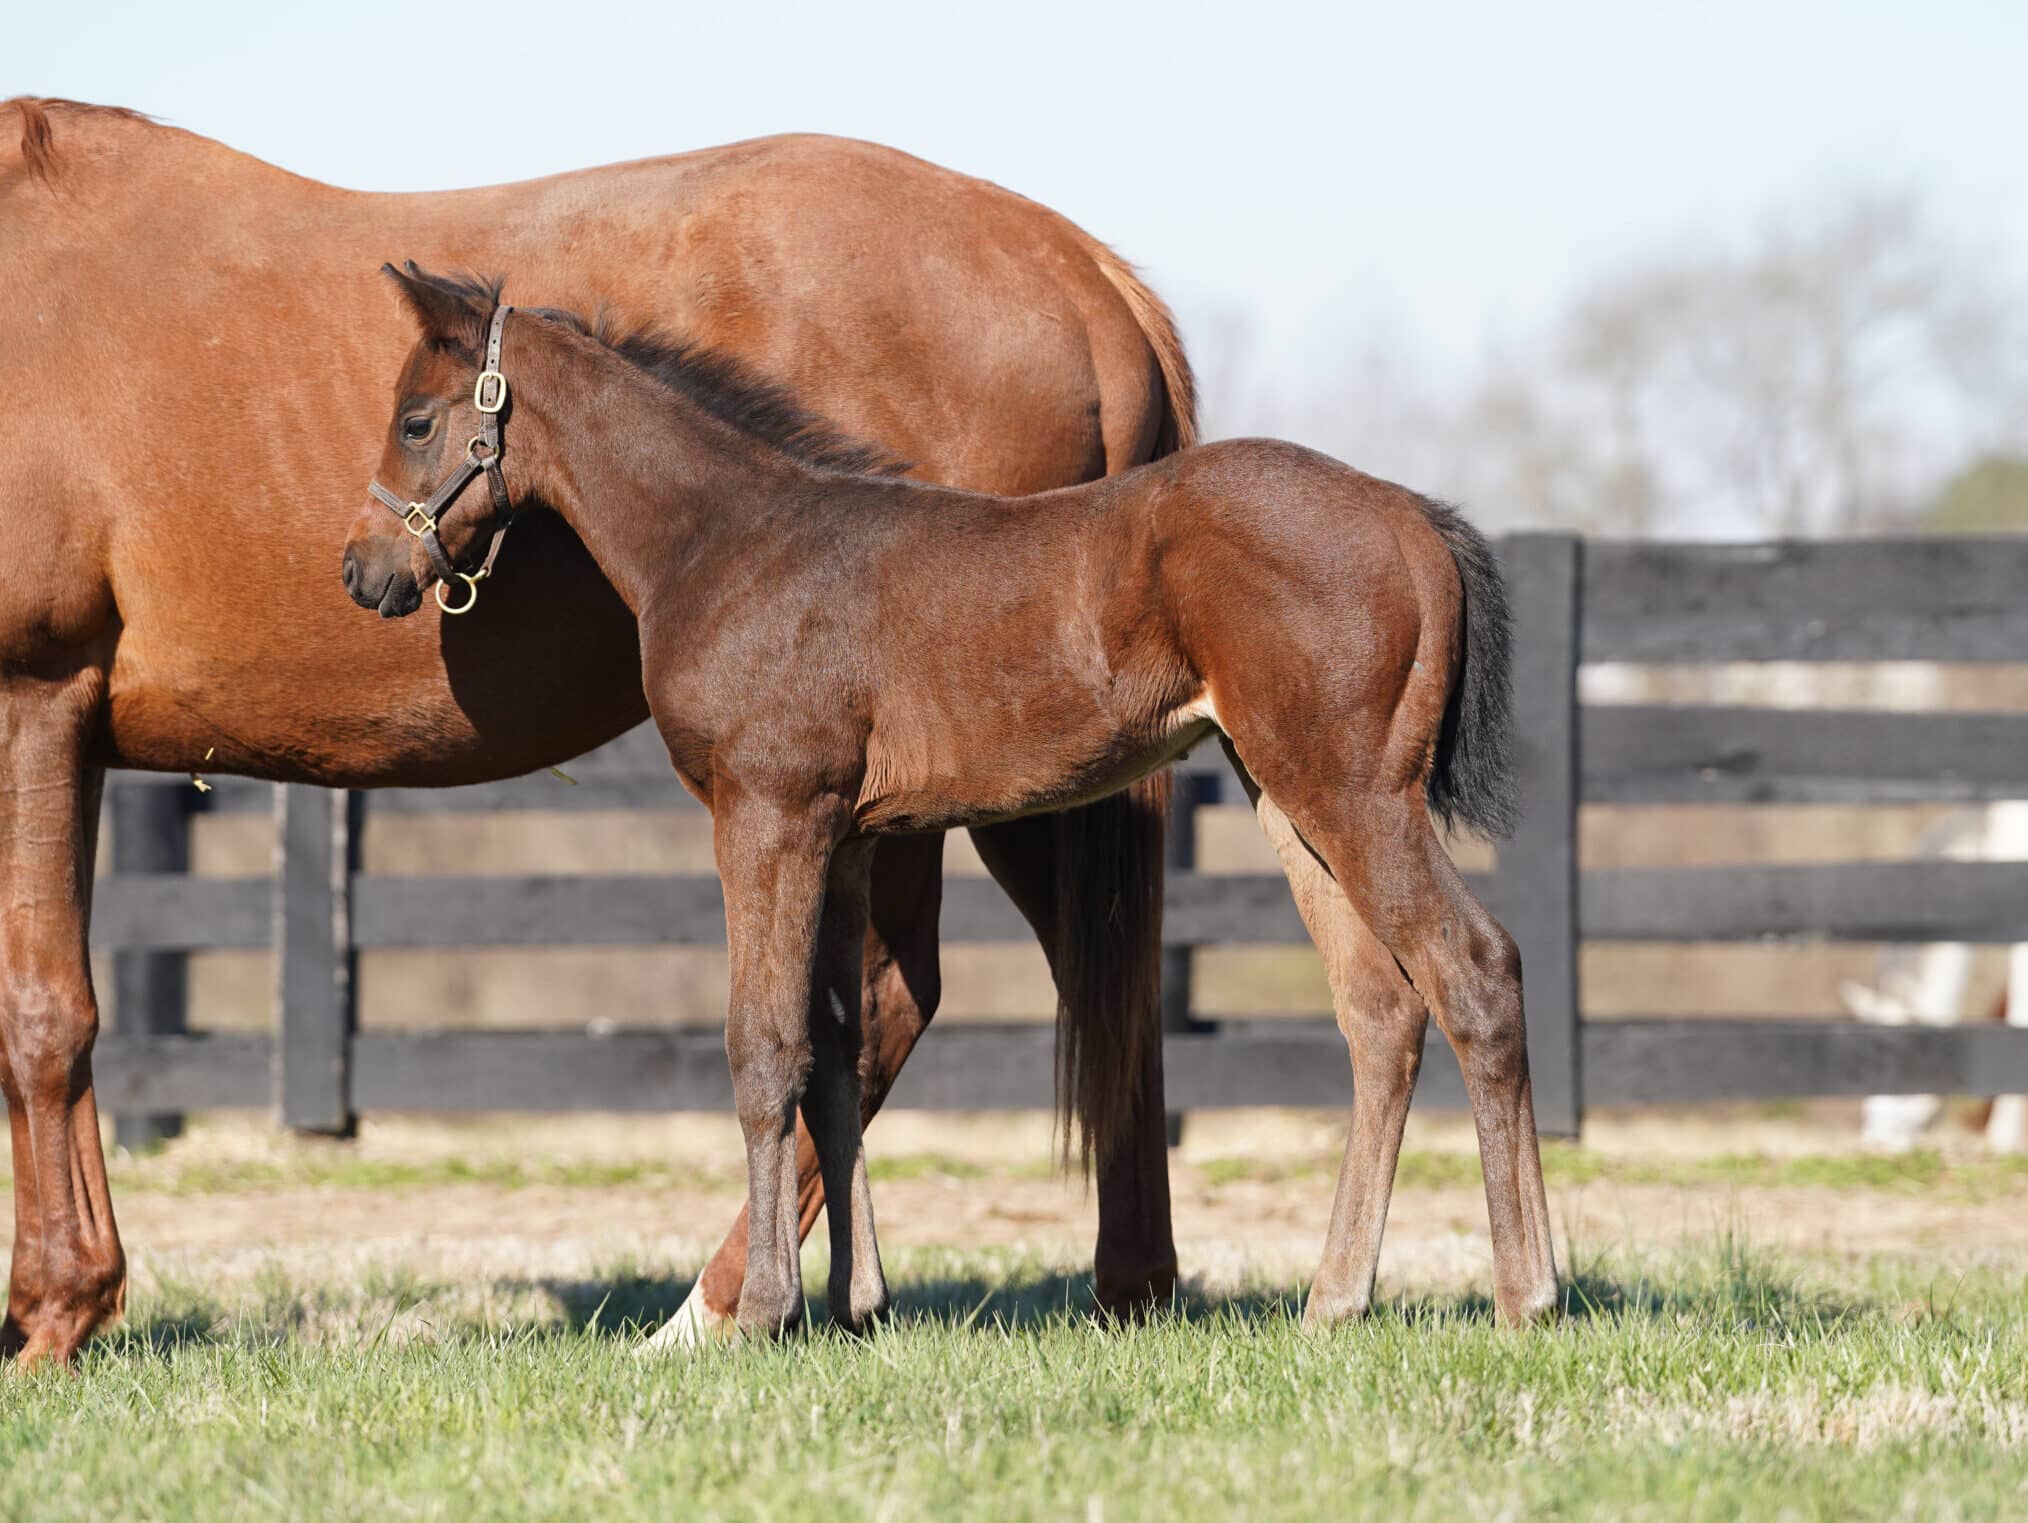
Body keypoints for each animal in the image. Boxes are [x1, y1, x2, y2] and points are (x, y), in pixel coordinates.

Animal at [0, 96, 1192, 1364]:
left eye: (415, 419)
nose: (360, 570)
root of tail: (1089, 274)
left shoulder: (35, 696)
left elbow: (42, 1012)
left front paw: (57, 1312)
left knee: (906, 1004)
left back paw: (724, 1306)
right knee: (1052, 993)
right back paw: (1115, 1285)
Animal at [351, 267, 1562, 1333]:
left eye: (416, 419)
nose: (366, 573)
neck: (728, 540)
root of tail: (1412, 515)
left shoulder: (767, 814)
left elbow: (765, 1046)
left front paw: (770, 1309)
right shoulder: (842, 837)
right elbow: (836, 1047)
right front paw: (859, 1302)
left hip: (1354, 791)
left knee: (1475, 970)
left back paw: (1529, 1293)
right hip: (1288, 799)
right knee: (1380, 1010)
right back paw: (1335, 1299)